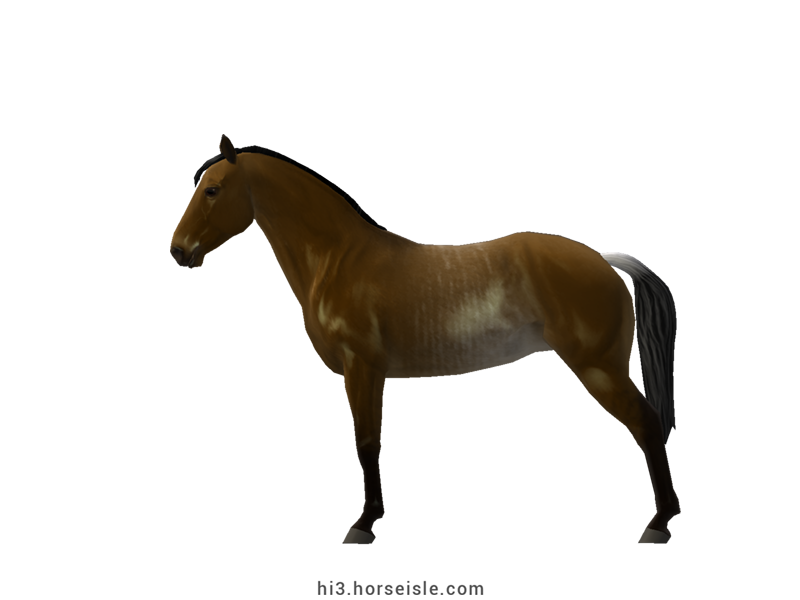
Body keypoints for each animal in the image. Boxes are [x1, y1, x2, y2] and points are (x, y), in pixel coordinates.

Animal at [171, 135, 680, 537]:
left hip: (601, 366)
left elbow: (366, 439)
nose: (179, 251)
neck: (340, 258)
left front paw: (366, 520)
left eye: (212, 189)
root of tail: (609, 264)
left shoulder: (361, 364)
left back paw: (659, 521)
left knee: (649, 423)